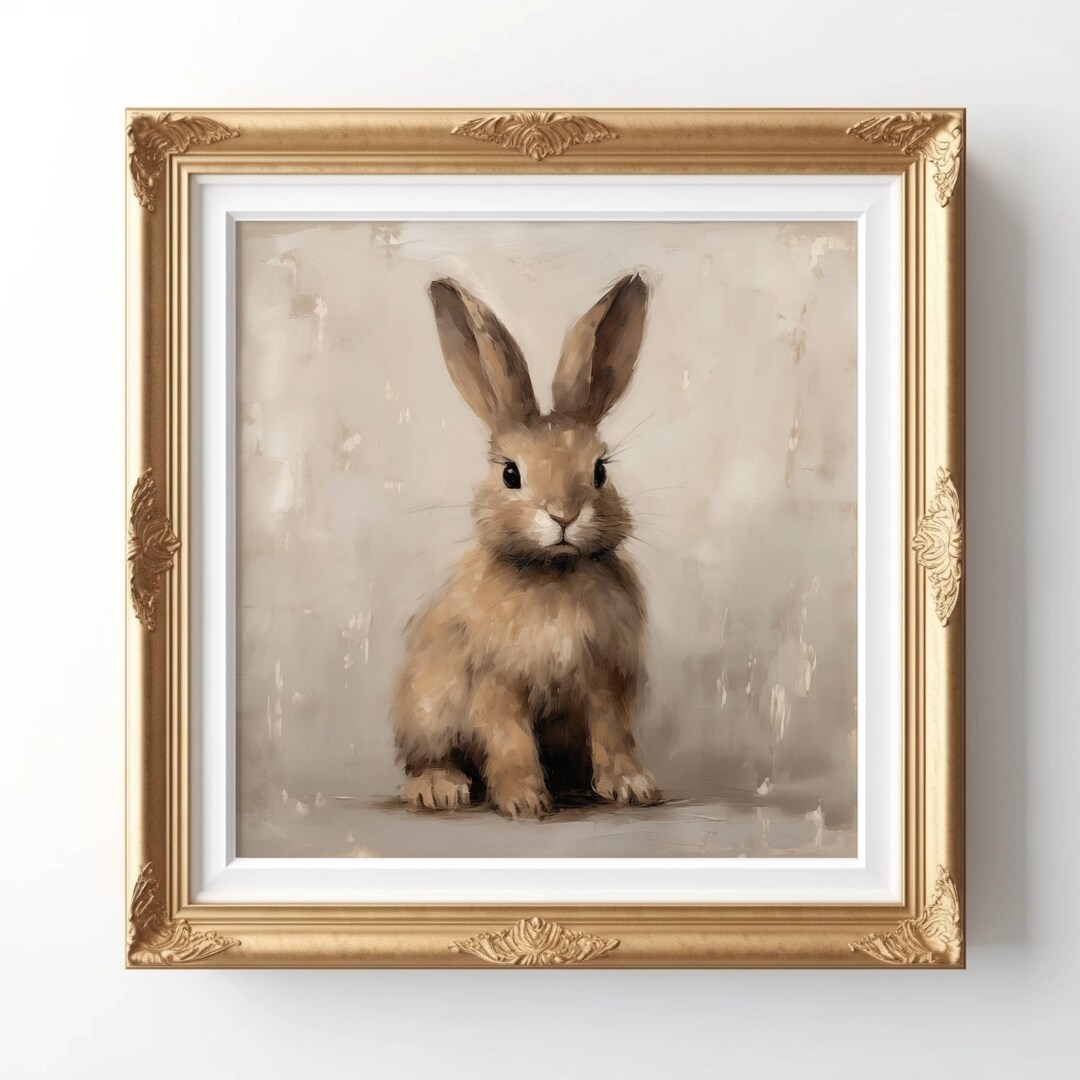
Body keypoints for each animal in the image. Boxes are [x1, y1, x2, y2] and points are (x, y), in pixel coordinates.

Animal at [392, 273, 660, 818]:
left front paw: (631, 787)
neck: (552, 572)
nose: (563, 515)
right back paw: (439, 789)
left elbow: (613, 735)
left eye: (600, 471)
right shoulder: (496, 682)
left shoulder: (605, 680)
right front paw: (523, 800)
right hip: (426, 707)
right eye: (511, 474)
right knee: (428, 758)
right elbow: (509, 739)